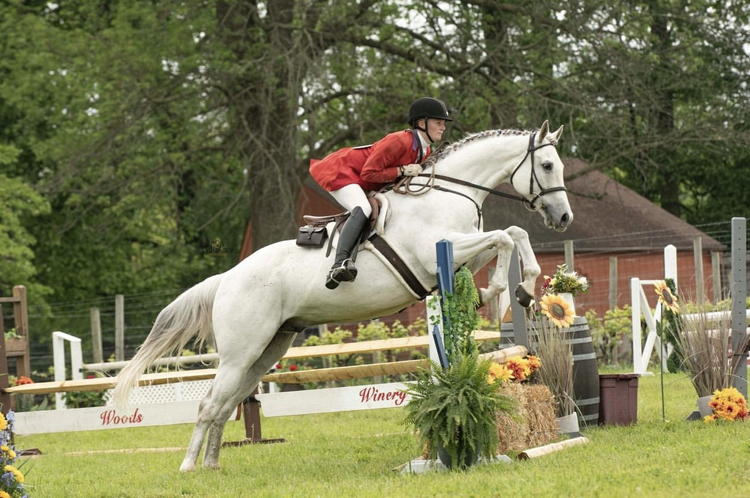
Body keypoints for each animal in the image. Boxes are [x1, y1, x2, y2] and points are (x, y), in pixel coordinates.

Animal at [113, 120, 573, 472]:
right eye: (547, 165)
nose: (564, 218)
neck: (447, 192)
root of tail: (227, 278)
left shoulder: (463, 250)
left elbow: (513, 234)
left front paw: (521, 288)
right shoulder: (438, 254)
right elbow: (505, 236)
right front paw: (496, 290)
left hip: (268, 347)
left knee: (227, 404)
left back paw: (211, 464)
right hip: (241, 350)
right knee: (210, 403)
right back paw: (189, 467)